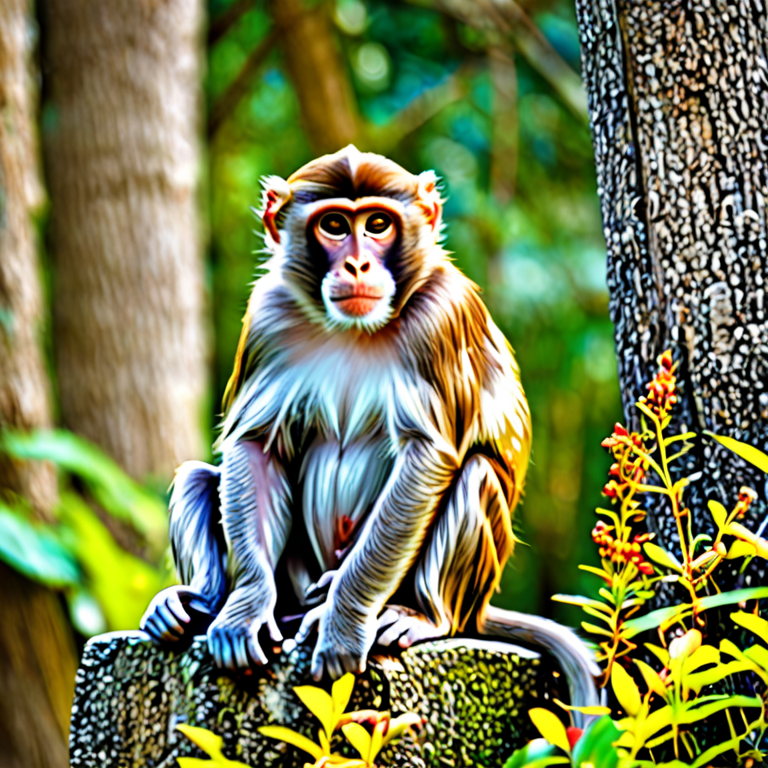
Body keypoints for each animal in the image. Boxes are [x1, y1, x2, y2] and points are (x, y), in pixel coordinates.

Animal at [140, 146, 598, 712]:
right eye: (334, 225)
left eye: (378, 224)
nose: (357, 264)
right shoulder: (268, 315)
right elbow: (256, 445)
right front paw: (243, 610)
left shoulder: (441, 317)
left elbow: (428, 457)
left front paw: (343, 622)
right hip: (296, 575)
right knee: (198, 478)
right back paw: (201, 604)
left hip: (452, 593)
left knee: (475, 474)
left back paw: (415, 614)